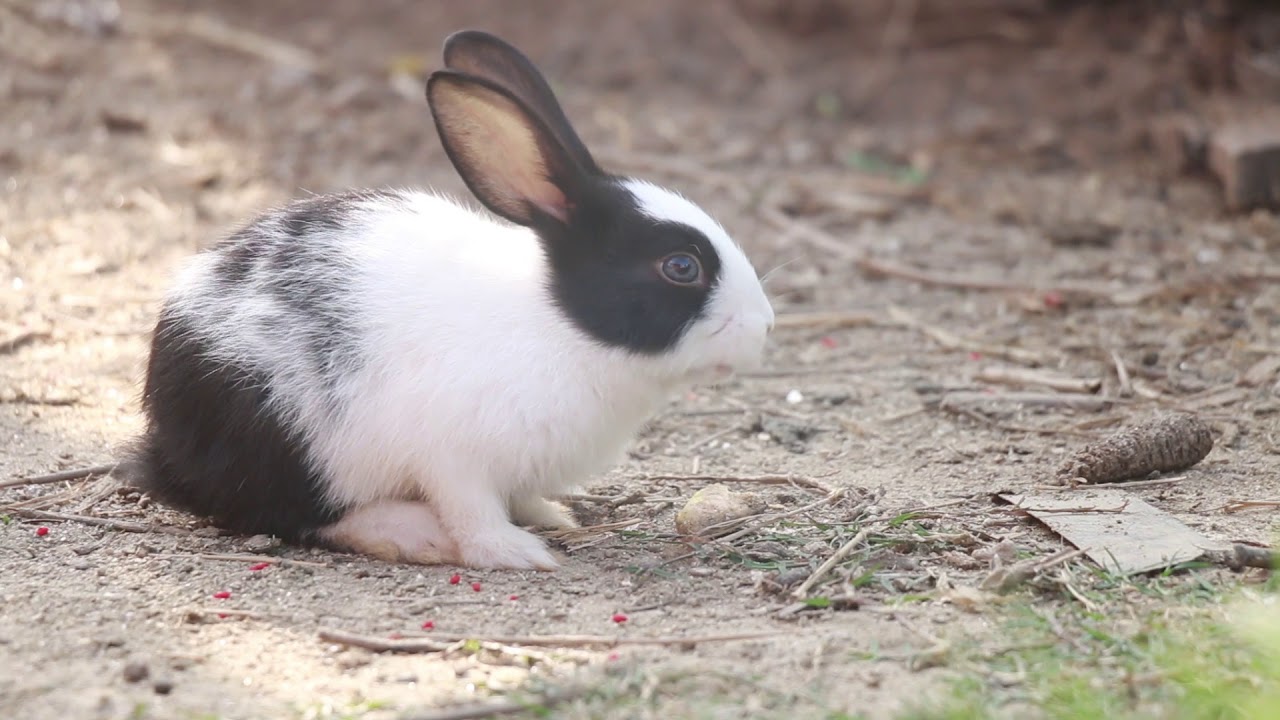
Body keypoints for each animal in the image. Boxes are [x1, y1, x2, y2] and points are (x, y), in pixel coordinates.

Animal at [125, 30, 775, 570]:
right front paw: (518, 553)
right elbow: (473, 513)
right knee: (290, 514)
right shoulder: (455, 458)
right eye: (681, 267)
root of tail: (163, 441)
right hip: (289, 441)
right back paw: (410, 533)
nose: (766, 326)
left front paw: (550, 515)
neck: (561, 325)